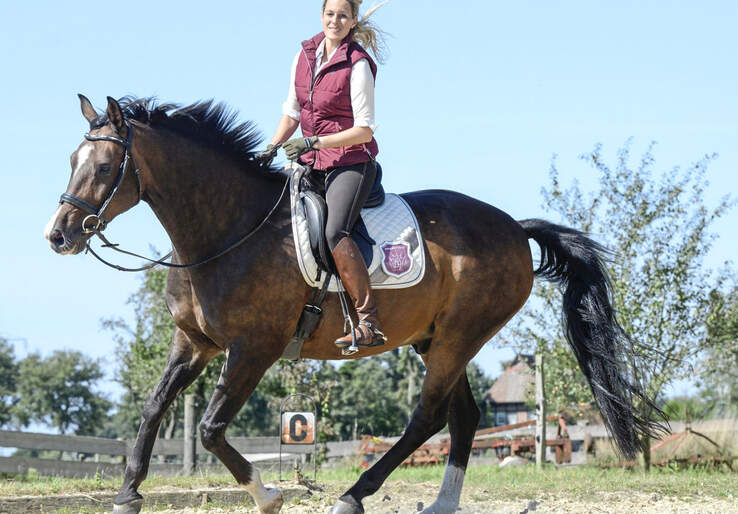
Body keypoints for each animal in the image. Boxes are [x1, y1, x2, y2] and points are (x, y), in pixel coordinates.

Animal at [45, 95, 661, 514]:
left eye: (105, 168)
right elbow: (153, 408)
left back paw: (354, 495)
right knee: (462, 416)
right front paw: (127, 493)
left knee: (427, 417)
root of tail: (514, 228)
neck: (227, 230)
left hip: (458, 337)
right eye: (71, 159)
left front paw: (267, 496)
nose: (59, 236)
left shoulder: (254, 349)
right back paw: (440, 503)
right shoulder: (194, 343)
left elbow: (212, 428)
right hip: (437, 339)